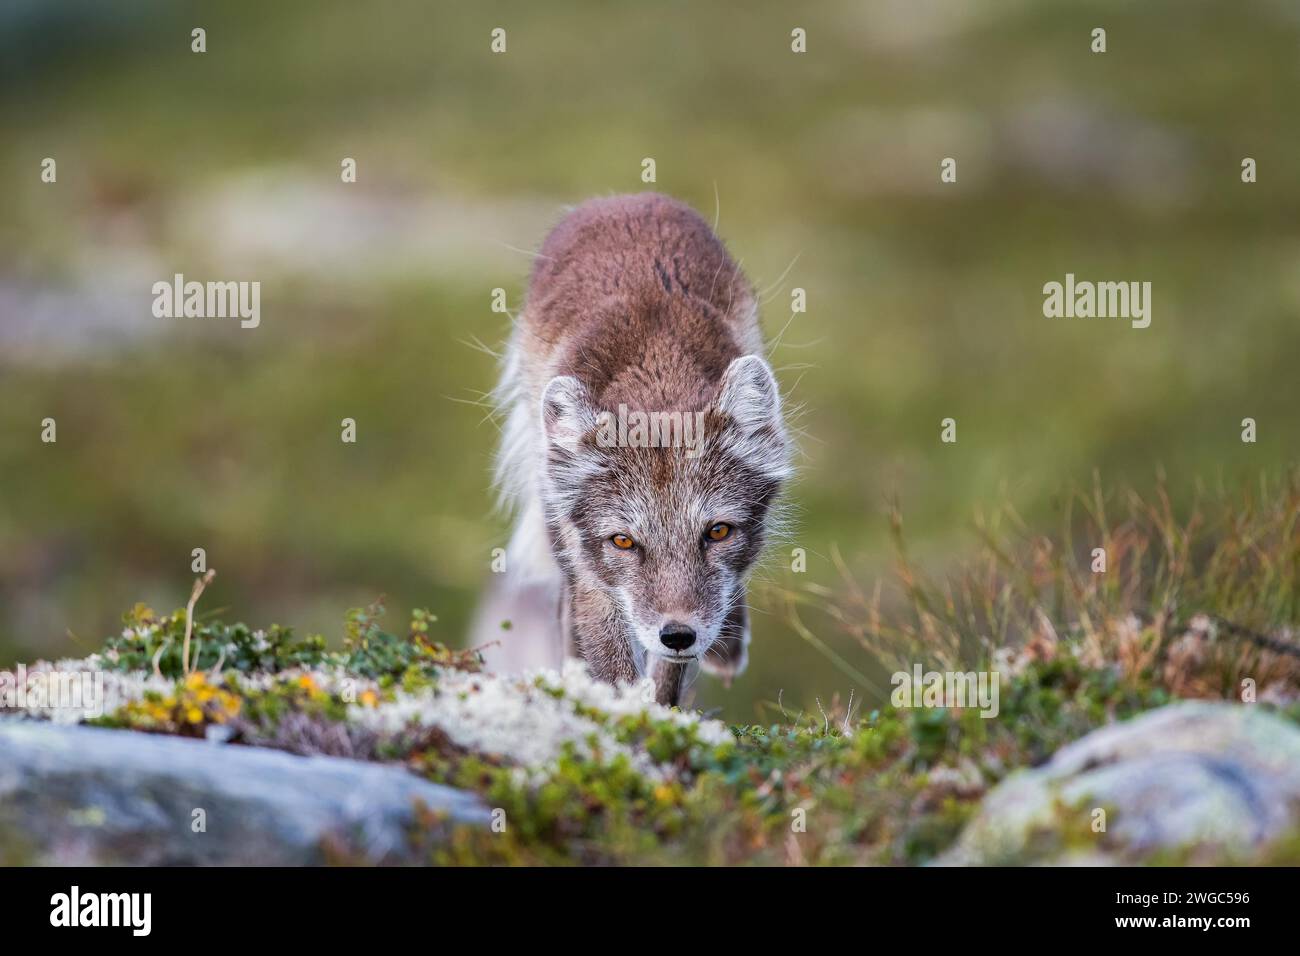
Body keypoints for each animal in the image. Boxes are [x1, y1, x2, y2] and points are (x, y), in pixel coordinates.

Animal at [474, 193, 792, 706]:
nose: (678, 634)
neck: (657, 371)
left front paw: (661, 710)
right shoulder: (592, 567)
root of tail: (622, 197)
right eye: (623, 541)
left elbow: (669, 673)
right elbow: (610, 658)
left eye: (719, 532)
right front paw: (617, 711)